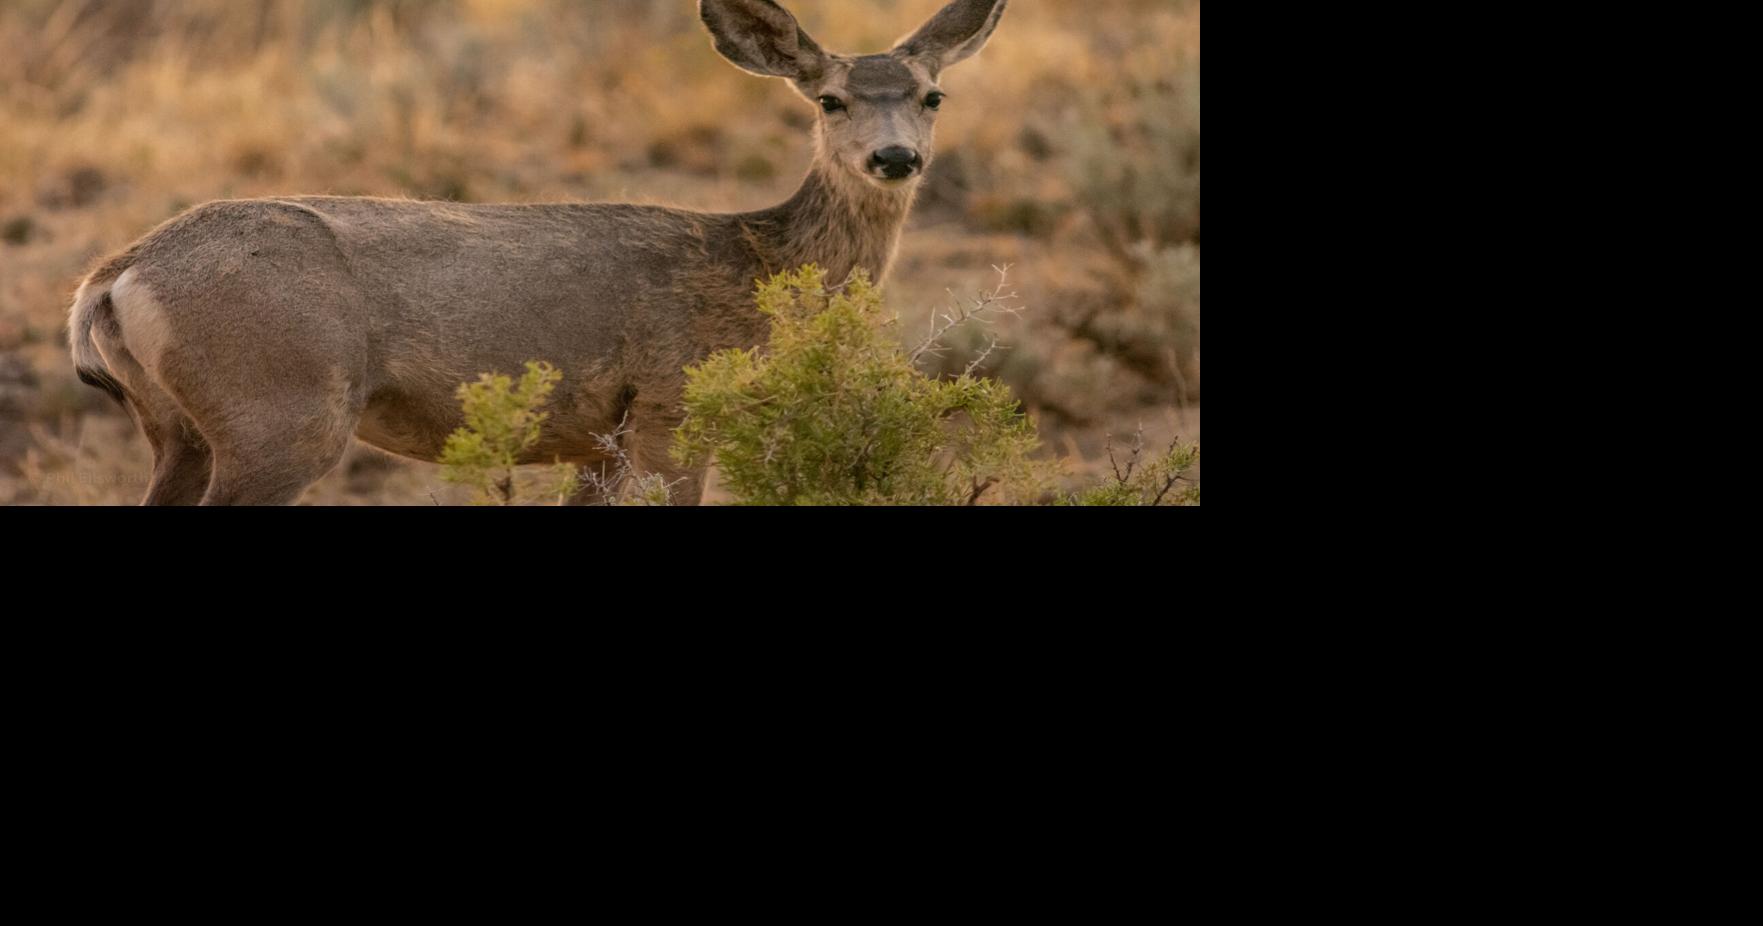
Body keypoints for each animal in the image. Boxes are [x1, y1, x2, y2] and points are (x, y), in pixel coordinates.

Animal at [65, 0, 1008, 506]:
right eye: (830, 100)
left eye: (932, 95)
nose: (895, 157)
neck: (754, 266)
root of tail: (112, 278)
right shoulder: (673, 403)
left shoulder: (599, 438)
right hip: (280, 405)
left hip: (178, 426)